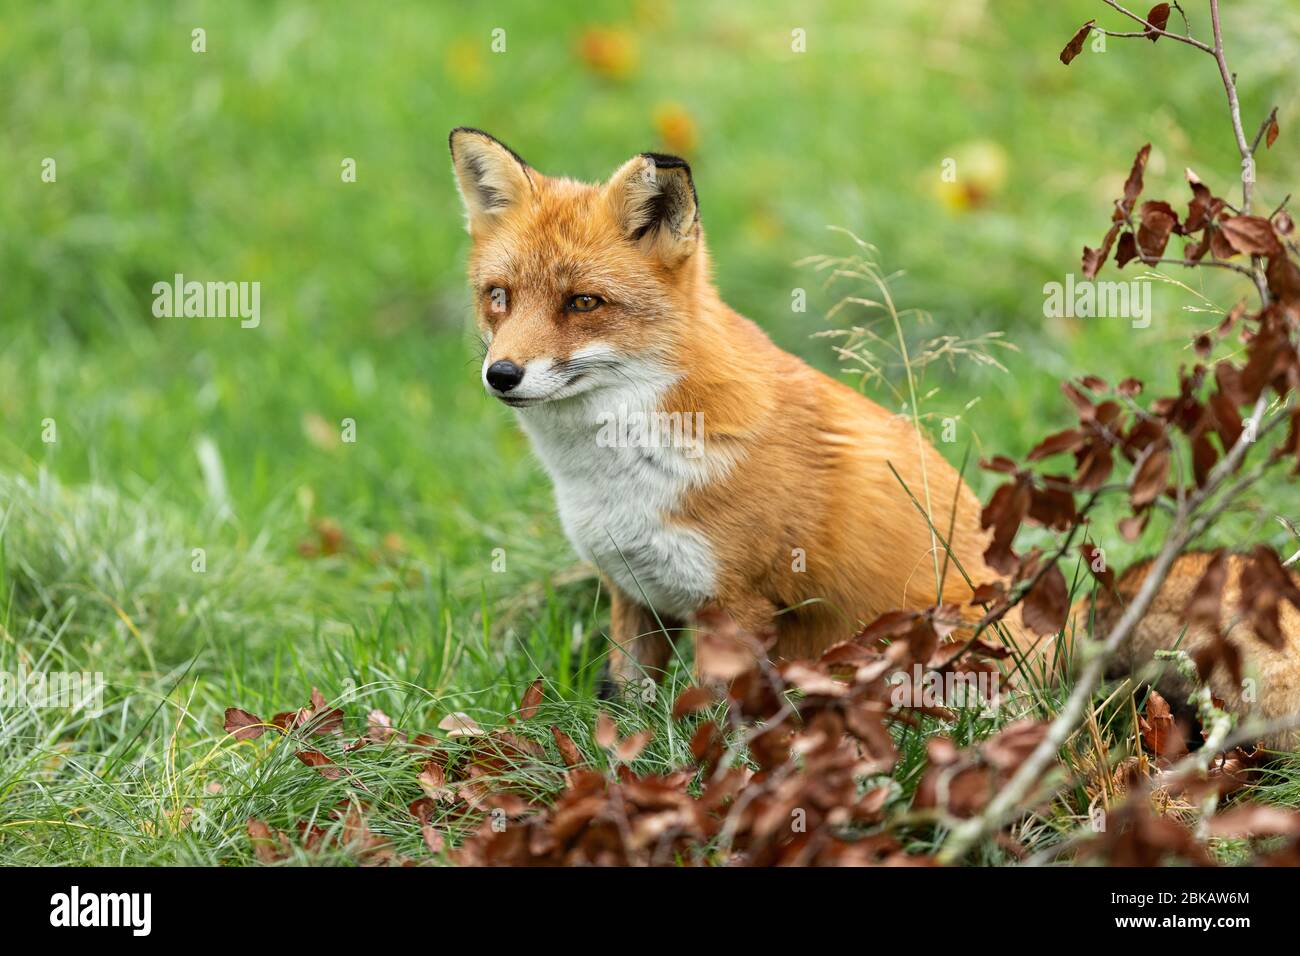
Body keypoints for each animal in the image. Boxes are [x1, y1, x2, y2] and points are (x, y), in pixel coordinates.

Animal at [448, 127, 1299, 745]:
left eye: (582, 303)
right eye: (499, 297)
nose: (501, 374)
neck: (620, 473)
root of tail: (1067, 640)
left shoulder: (741, 606)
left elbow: (720, 727)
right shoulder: (635, 595)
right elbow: (625, 711)